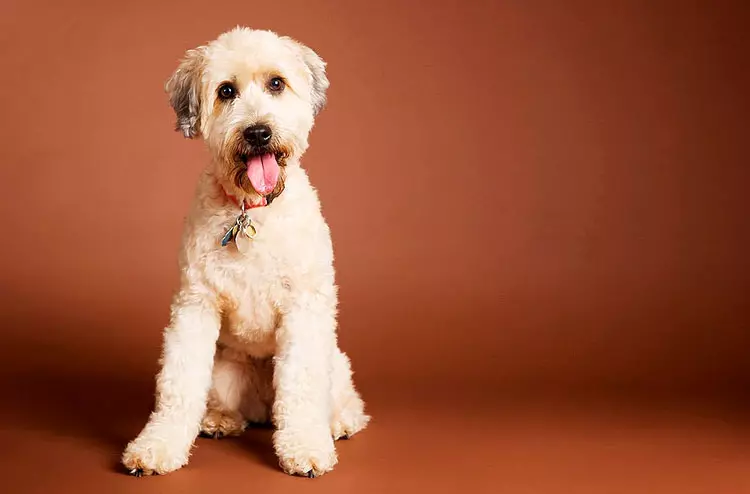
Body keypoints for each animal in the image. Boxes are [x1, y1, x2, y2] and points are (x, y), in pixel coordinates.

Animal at [120, 27, 370, 478]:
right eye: (226, 91)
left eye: (276, 83)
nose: (257, 133)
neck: (250, 210)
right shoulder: (195, 306)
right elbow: (178, 384)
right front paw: (157, 446)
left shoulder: (304, 308)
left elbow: (302, 384)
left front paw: (306, 447)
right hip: (224, 371)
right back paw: (220, 420)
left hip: (336, 362)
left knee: (338, 399)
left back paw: (339, 422)